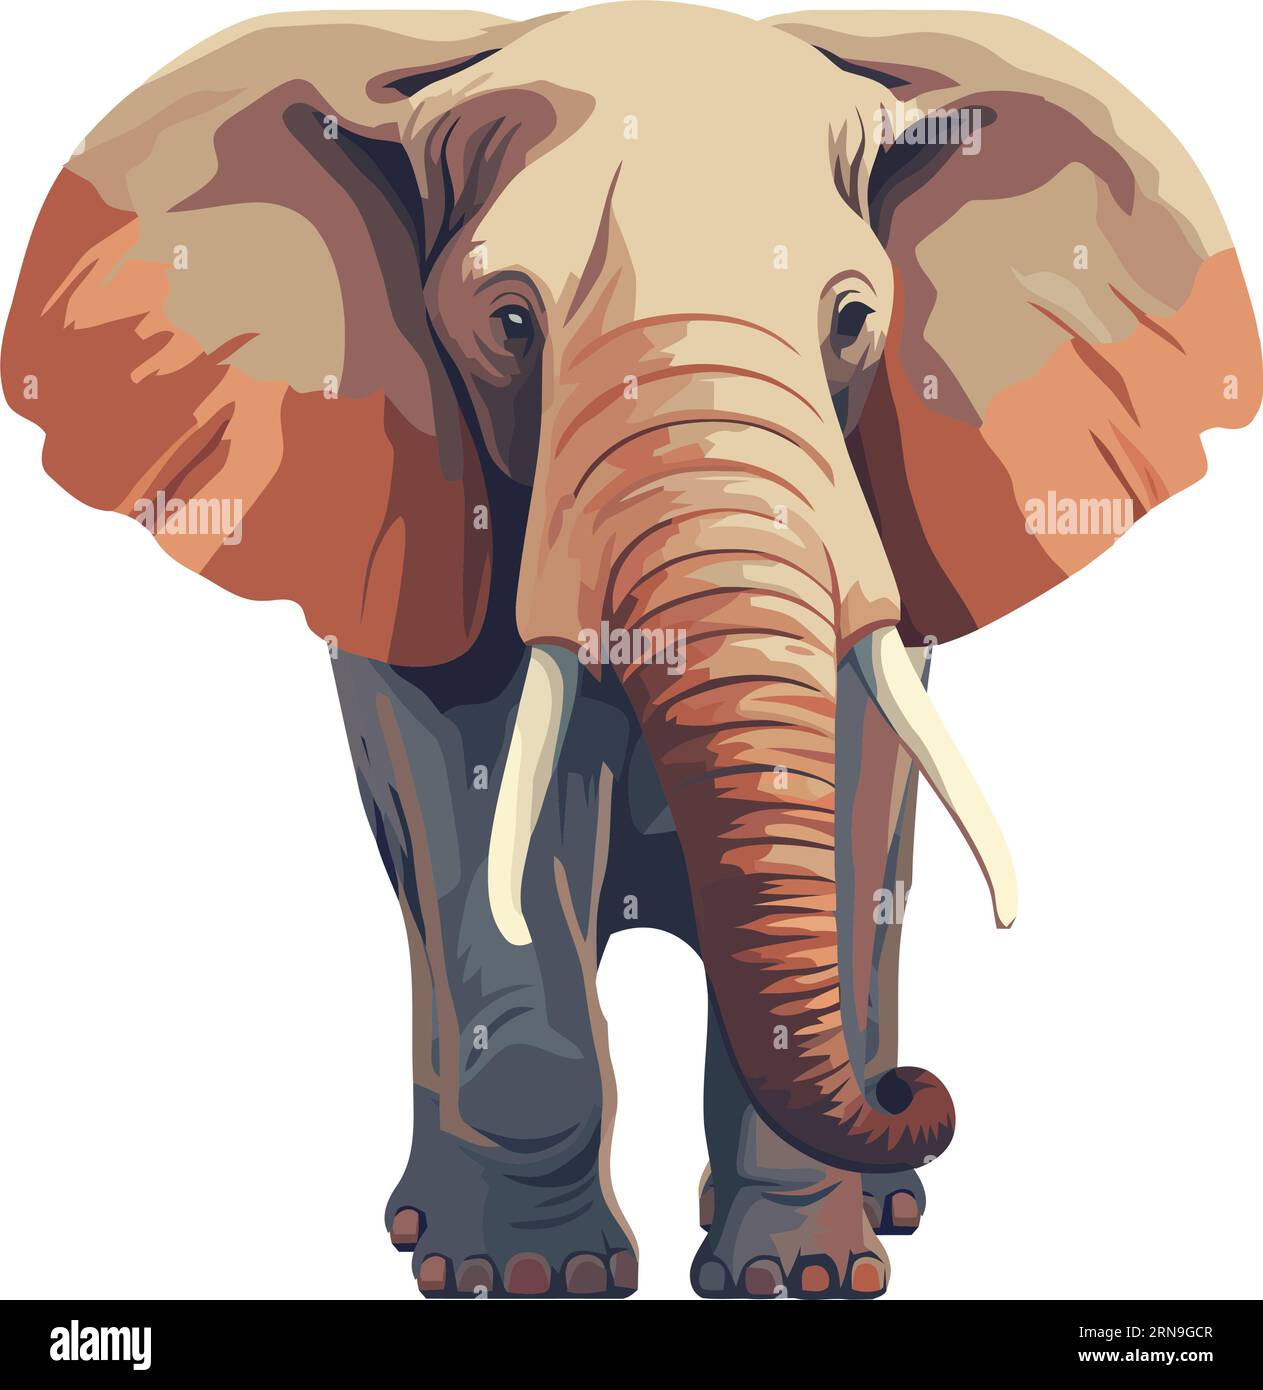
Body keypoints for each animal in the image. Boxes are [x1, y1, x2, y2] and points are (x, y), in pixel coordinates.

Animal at [3, 3, 1259, 1300]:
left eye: (855, 319)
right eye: (510, 324)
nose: (922, 1093)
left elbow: (849, 801)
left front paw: (802, 1277)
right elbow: (479, 807)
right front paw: (523, 1276)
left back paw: (891, 1203)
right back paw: (421, 1226)